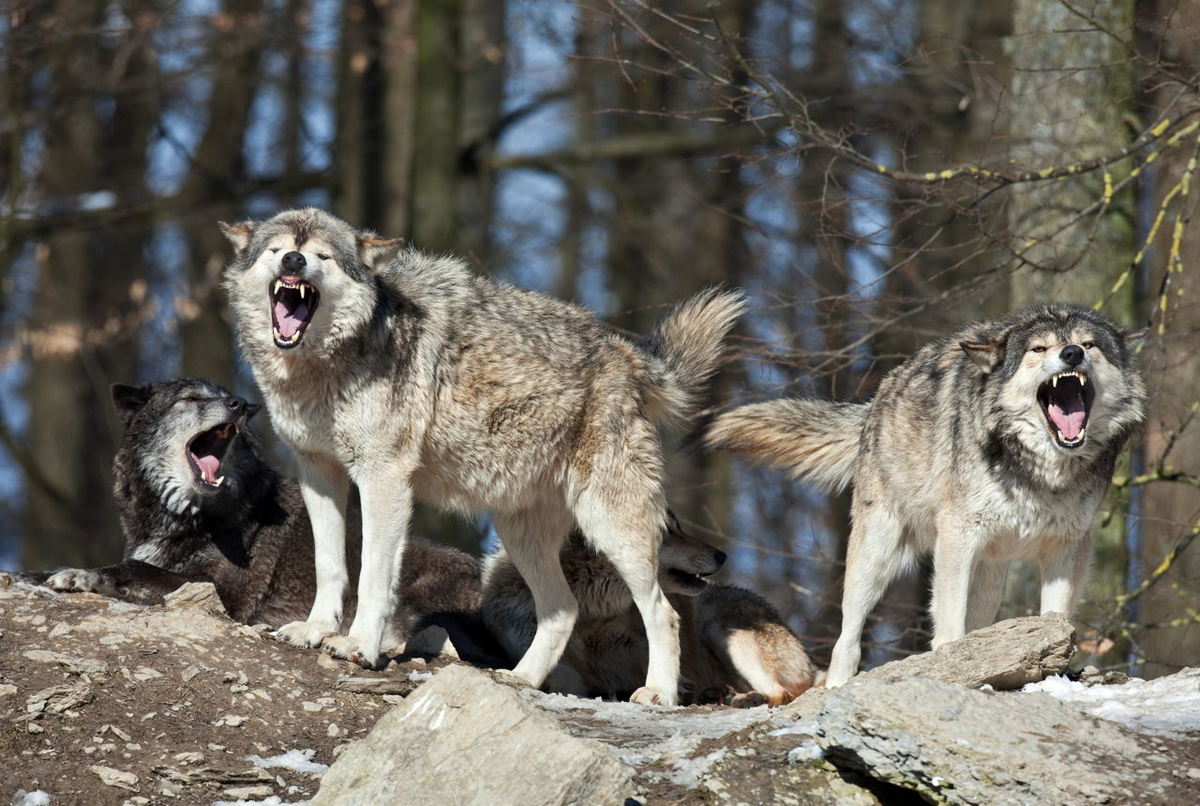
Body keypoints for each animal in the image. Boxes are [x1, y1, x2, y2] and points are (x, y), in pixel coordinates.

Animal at [16, 381, 501, 662]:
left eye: (225, 395)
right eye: (192, 399)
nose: (240, 404)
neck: (190, 515)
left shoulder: (222, 593)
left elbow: (133, 568)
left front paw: (79, 576)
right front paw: (40, 574)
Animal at [219, 207, 739, 705]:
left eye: (322, 256)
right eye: (278, 249)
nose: (294, 262)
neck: (321, 367)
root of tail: (628, 354)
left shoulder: (383, 478)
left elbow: (372, 576)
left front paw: (359, 645)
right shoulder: (318, 472)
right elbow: (329, 565)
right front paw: (315, 630)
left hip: (612, 528)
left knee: (663, 612)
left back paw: (659, 693)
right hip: (520, 534)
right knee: (563, 609)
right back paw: (521, 680)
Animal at [482, 513, 820, 710]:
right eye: (664, 530)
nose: (722, 555)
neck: (592, 612)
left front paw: (672, 688)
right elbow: (560, 672)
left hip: (718, 625)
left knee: (780, 693)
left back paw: (742, 698)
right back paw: (718, 694)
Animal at [705, 302, 1147, 686]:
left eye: (1089, 344)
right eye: (1039, 349)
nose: (1072, 354)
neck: (1040, 472)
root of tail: (876, 400)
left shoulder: (1068, 546)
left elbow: (1056, 617)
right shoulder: (956, 536)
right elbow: (948, 620)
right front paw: (950, 664)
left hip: (991, 576)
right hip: (876, 555)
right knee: (847, 636)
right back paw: (837, 684)